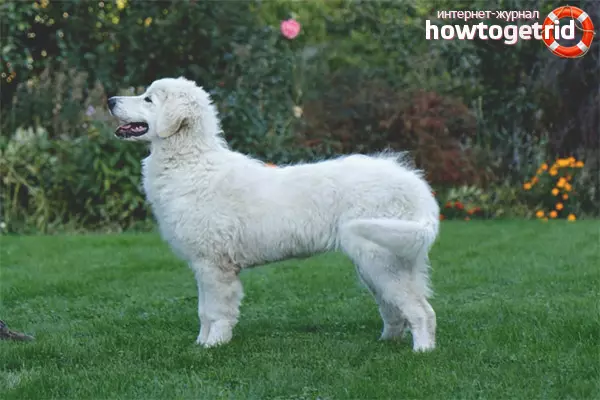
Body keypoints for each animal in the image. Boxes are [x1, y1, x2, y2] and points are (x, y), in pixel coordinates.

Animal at [108, 76, 440, 352]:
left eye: (148, 99)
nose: (110, 100)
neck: (190, 161)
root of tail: (417, 186)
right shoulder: (204, 265)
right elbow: (203, 312)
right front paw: (201, 343)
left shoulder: (213, 265)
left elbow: (215, 311)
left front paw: (213, 346)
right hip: (378, 262)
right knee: (396, 309)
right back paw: (387, 342)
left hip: (381, 259)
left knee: (420, 310)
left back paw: (422, 351)